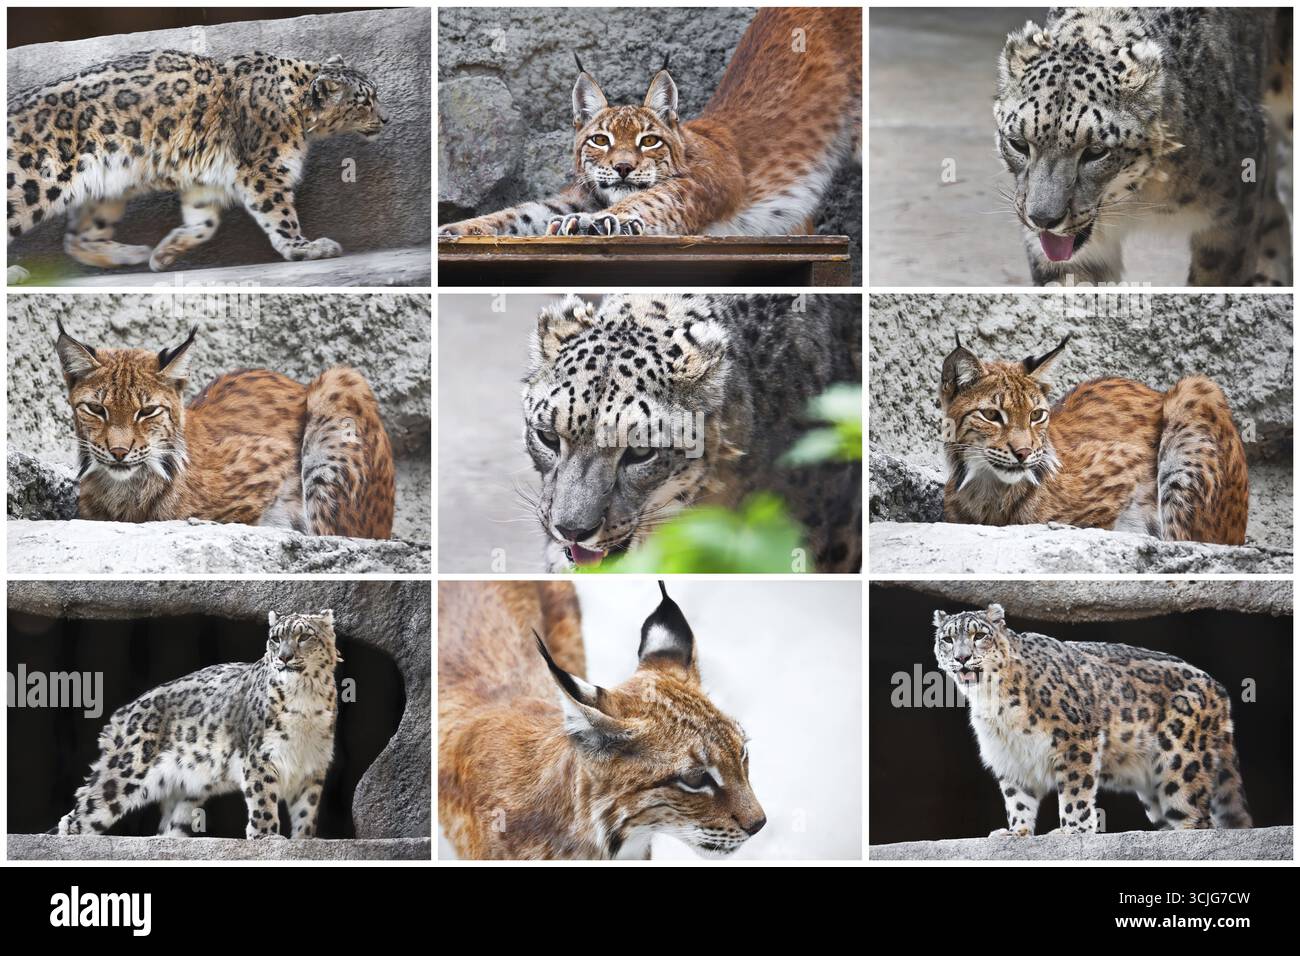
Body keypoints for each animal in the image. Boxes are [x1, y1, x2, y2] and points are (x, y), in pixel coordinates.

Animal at [8, 49, 387, 283]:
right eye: (364, 101)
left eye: (375, 94)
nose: (385, 119)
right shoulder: (263, 169)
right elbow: (280, 215)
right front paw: (304, 247)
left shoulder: (206, 181)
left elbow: (203, 223)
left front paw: (165, 252)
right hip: (31, 182)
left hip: (107, 188)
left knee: (77, 238)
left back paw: (132, 253)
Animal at [58, 610, 341, 839]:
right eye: (275, 638)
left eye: (304, 636)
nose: (284, 657)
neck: (305, 701)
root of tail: (123, 712)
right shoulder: (260, 756)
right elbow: (264, 800)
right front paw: (267, 837)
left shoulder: (313, 764)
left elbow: (306, 810)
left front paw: (303, 840)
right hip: (129, 768)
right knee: (85, 808)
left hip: (187, 792)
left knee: (169, 827)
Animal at [439, 7, 860, 237]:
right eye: (601, 140)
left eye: (649, 141)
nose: (623, 168)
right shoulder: (579, 194)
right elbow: (521, 213)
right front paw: (458, 230)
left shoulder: (702, 182)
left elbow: (649, 198)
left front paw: (595, 223)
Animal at [934, 604, 1252, 836]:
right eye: (947, 639)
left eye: (978, 635)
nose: (961, 658)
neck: (992, 701)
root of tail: (1219, 689)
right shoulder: (1009, 754)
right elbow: (1018, 799)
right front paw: (1016, 833)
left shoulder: (1074, 740)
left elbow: (1075, 791)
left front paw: (1072, 831)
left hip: (1180, 764)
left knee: (1197, 817)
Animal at [940, 332, 1248, 545]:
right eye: (992, 415)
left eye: (1036, 415)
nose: (1024, 452)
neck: (989, 485)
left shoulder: (1125, 462)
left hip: (1195, 388)